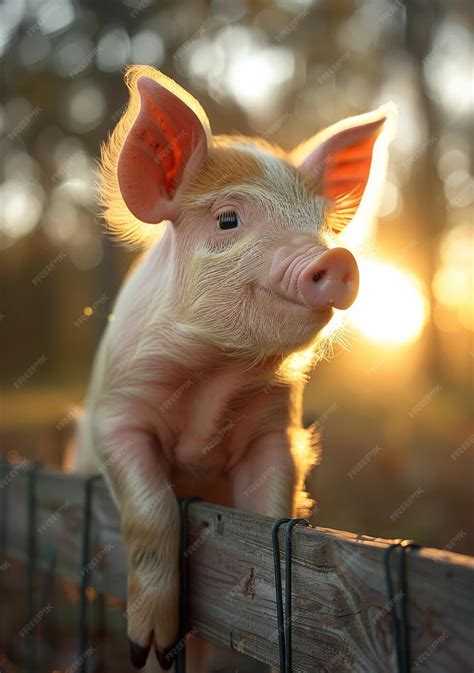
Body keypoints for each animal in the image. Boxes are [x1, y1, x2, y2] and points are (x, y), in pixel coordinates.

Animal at [72, 65, 395, 671]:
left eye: (323, 225)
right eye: (228, 219)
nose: (336, 257)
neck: (215, 376)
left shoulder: (276, 431)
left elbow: (268, 516)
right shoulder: (115, 416)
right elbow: (152, 508)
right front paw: (146, 649)